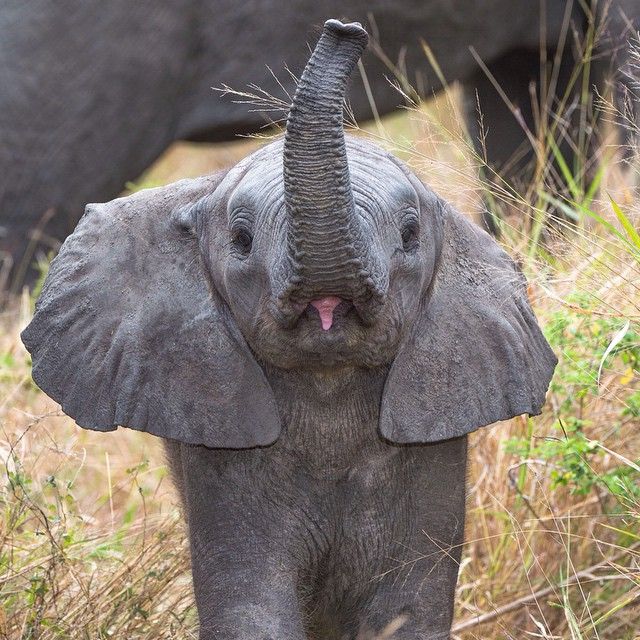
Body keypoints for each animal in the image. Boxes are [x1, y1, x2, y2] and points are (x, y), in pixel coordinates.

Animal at [22, 19, 557, 639]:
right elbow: (250, 602)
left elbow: (408, 606)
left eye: (410, 233)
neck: (328, 376)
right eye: (241, 239)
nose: (346, 28)